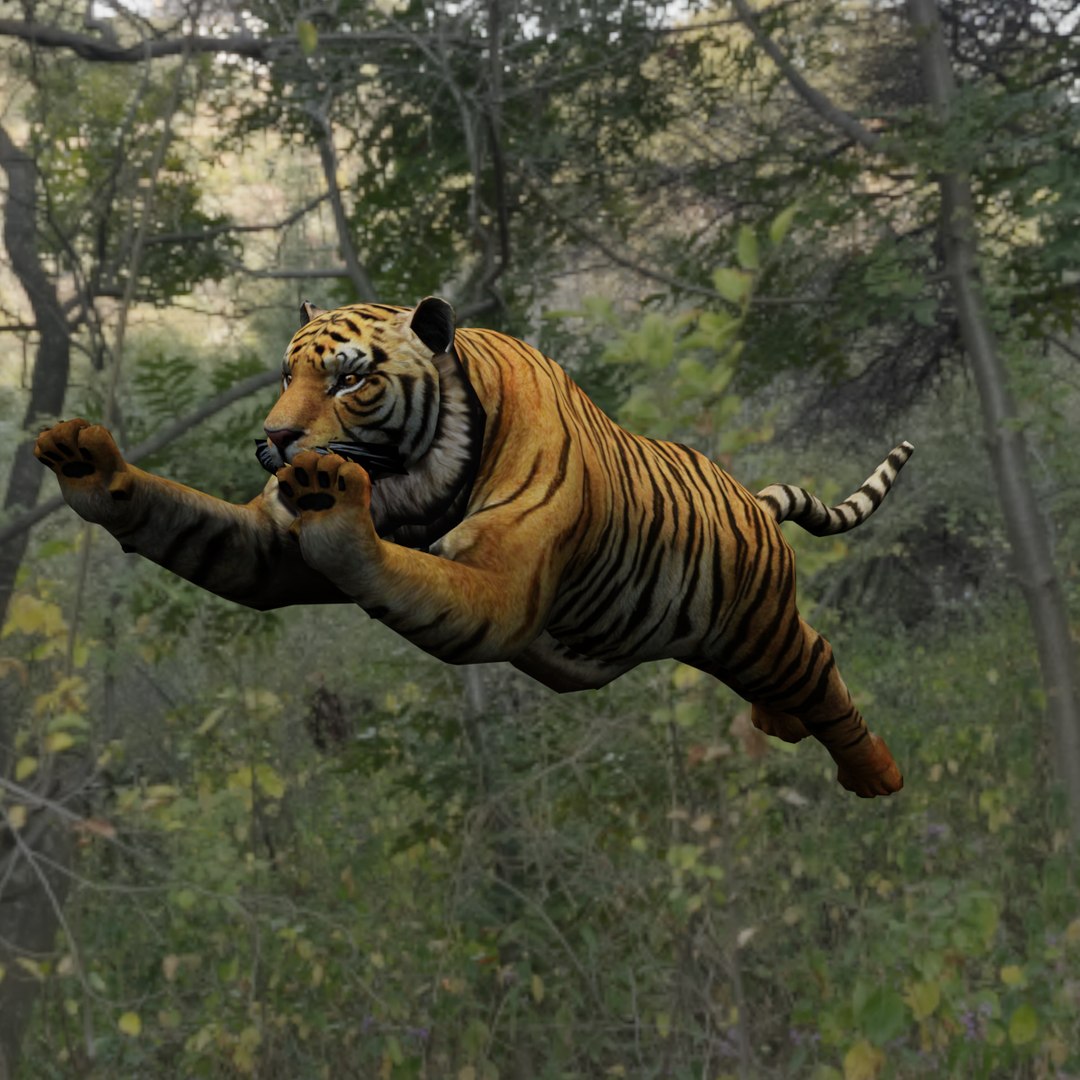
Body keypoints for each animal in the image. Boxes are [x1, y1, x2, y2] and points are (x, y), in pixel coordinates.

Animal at [35, 297, 911, 797]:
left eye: (349, 379)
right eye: (286, 375)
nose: (277, 440)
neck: (412, 482)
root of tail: (752, 501)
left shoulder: (503, 587)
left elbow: (394, 570)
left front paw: (333, 502)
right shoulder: (264, 547)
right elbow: (180, 518)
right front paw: (87, 462)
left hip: (762, 629)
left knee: (823, 674)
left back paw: (876, 775)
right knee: (785, 692)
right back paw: (779, 723)